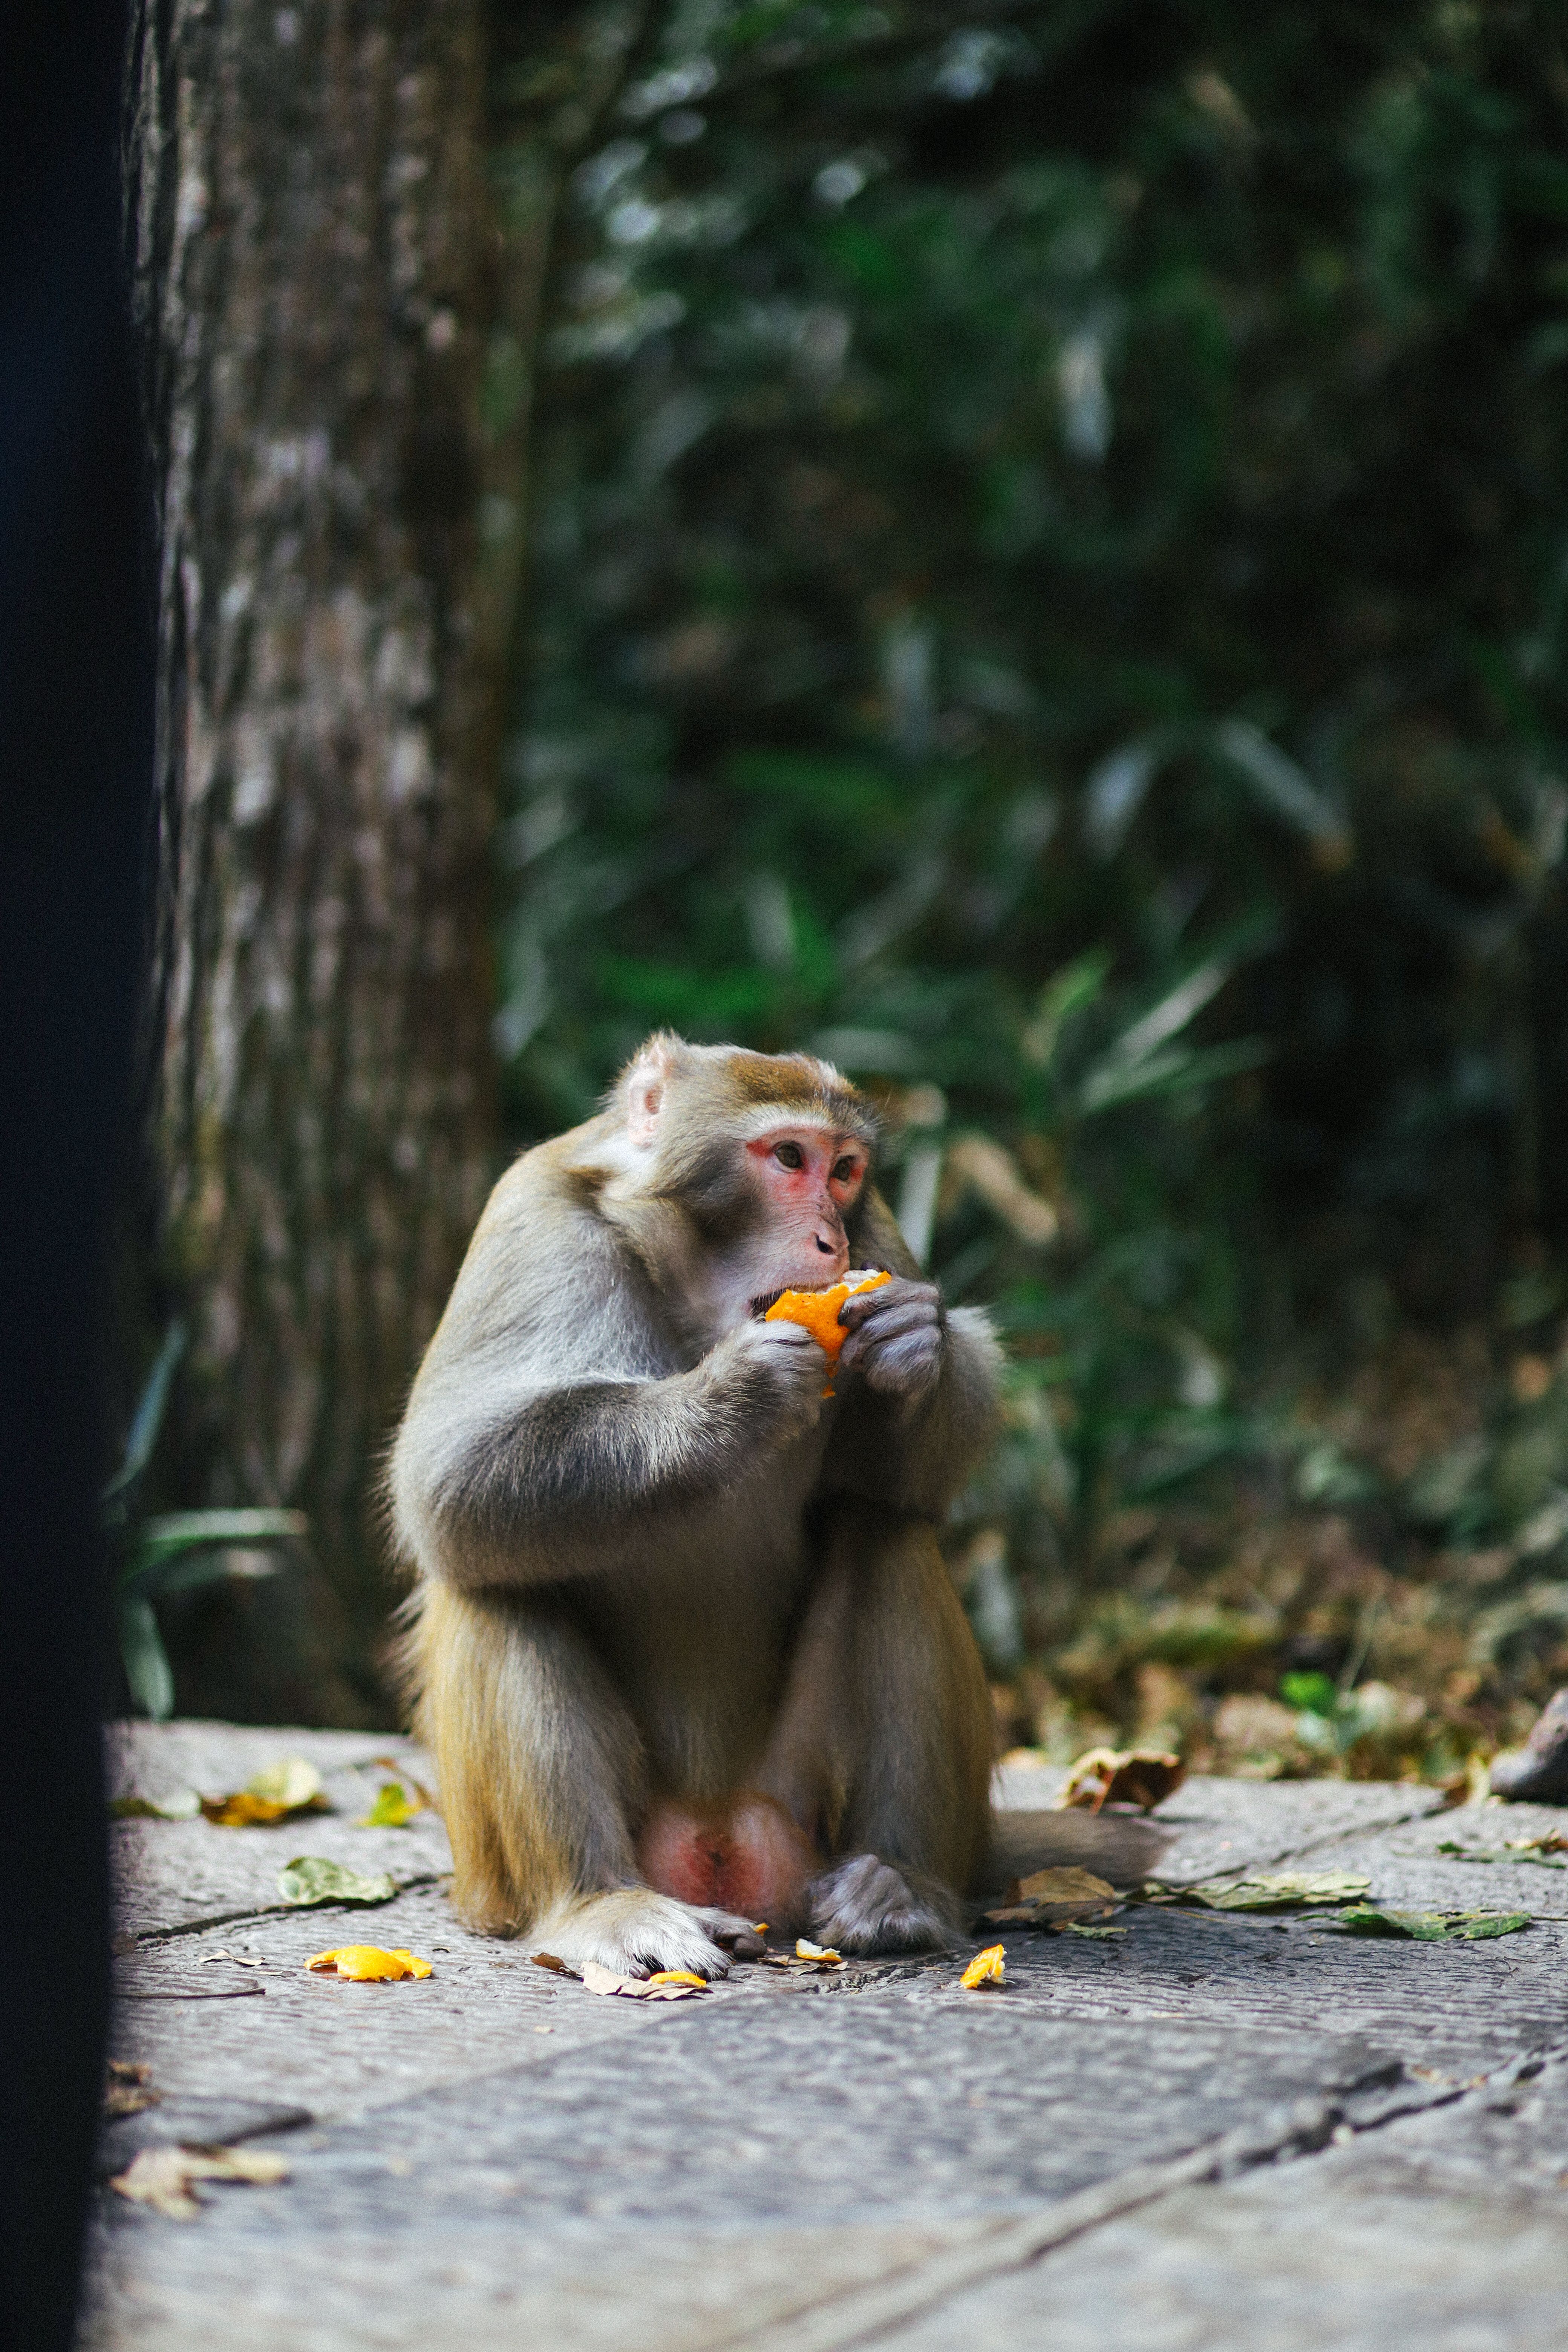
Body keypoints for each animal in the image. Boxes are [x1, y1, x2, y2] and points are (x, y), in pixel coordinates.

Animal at [389, 1033, 1159, 1978]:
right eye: (788, 1158)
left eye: (846, 1170)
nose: (828, 1239)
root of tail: (721, 1840)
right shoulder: (530, 1219)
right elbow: (449, 1474)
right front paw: (732, 1396)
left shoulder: (881, 1233)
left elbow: (909, 1483)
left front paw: (916, 1345)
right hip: (513, 1873)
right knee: (496, 1580)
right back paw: (598, 1903)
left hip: (801, 1806)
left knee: (888, 1537)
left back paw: (898, 1888)